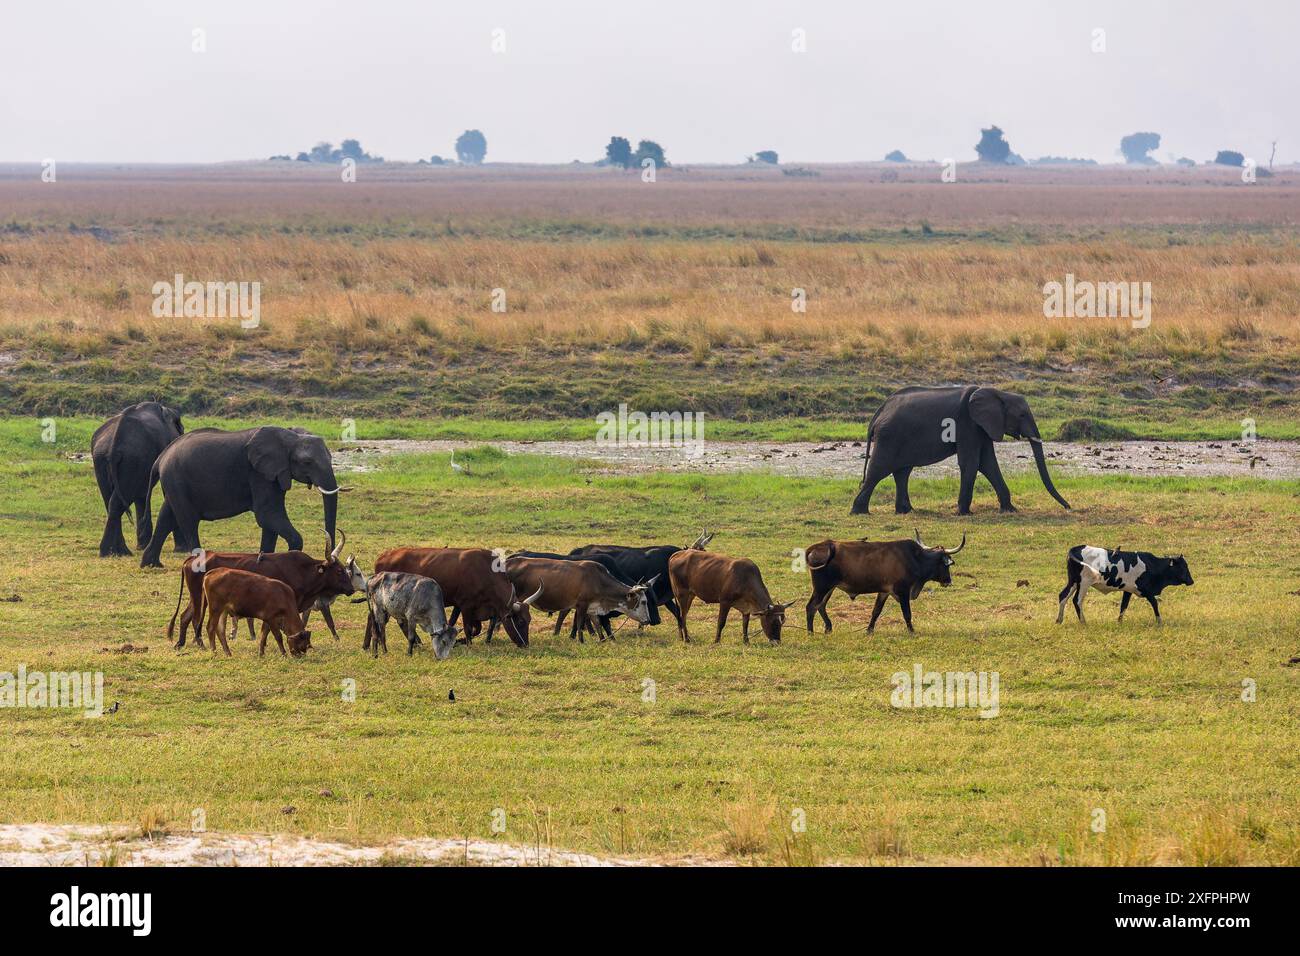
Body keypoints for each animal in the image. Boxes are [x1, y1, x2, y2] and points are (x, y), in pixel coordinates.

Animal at [166, 533, 357, 649]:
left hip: (195, 598)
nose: (351, 589)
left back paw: (181, 643)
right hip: (200, 599)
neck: (303, 571)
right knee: (194, 619)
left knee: (185, 616)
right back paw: (199, 643)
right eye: (339, 570)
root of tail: (193, 557)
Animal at [371, 547, 542, 647]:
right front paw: (466, 643)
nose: (525, 644)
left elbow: (463, 625)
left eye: (529, 620)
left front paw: (454, 641)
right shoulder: (466, 605)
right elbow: (468, 628)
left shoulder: (460, 606)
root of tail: (383, 556)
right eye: (520, 621)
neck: (484, 571)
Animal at [504, 556, 654, 643]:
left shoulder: (592, 607)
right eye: (643, 602)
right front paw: (581, 641)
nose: (648, 620)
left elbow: (597, 623)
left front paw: (602, 639)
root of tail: (507, 563)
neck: (598, 580)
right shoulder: (582, 605)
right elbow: (581, 623)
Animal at [804, 531, 965, 634]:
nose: (948, 581)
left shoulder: (884, 592)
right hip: (822, 587)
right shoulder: (903, 591)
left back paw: (828, 628)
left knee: (821, 606)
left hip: (829, 588)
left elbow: (876, 611)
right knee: (811, 607)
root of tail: (822, 545)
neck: (916, 558)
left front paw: (869, 630)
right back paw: (810, 632)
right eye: (946, 564)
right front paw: (911, 631)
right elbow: (907, 613)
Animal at [1056, 546, 1194, 625]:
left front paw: (1119, 621)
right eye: (1183, 567)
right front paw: (1159, 621)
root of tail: (1075, 549)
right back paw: (1083, 622)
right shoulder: (1147, 591)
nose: (1191, 581)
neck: (1151, 565)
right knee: (1077, 600)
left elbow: (1123, 606)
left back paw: (1059, 620)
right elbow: (1155, 603)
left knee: (1063, 596)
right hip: (1084, 582)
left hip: (1073, 581)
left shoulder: (1128, 590)